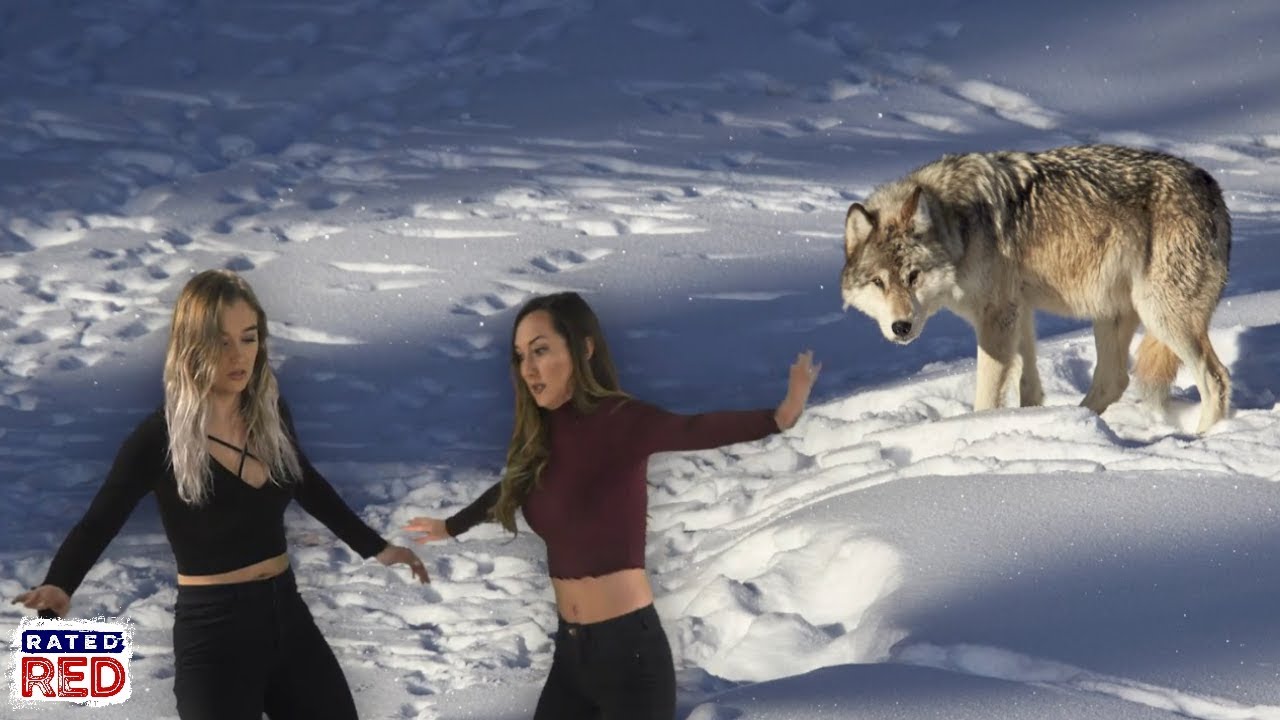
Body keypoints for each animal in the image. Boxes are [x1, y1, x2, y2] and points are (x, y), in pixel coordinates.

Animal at [839, 144, 1232, 432]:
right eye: (879, 282)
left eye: (913, 276)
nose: (901, 327)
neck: (958, 226)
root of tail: (1212, 187)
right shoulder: (1020, 310)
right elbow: (1028, 383)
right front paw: (1026, 420)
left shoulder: (997, 317)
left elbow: (986, 396)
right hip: (1110, 314)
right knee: (1113, 380)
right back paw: (1074, 422)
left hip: (1163, 316)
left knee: (1217, 379)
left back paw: (1201, 440)